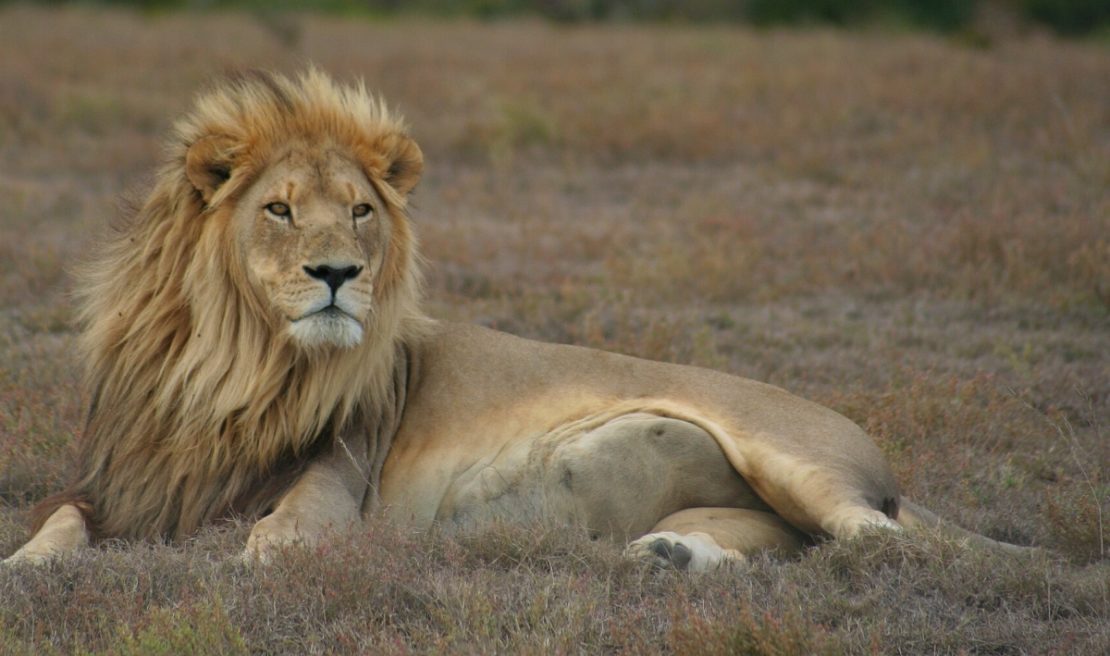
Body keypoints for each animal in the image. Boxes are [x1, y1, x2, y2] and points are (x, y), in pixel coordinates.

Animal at [5, 69, 1025, 569]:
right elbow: (59, 526)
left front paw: (252, 559)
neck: (235, 362)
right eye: (280, 210)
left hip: (792, 456)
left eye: (361, 212)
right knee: (796, 544)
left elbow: (280, 536)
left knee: (886, 542)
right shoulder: (120, 481)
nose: (337, 274)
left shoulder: (341, 473)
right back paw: (668, 555)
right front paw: (27, 568)